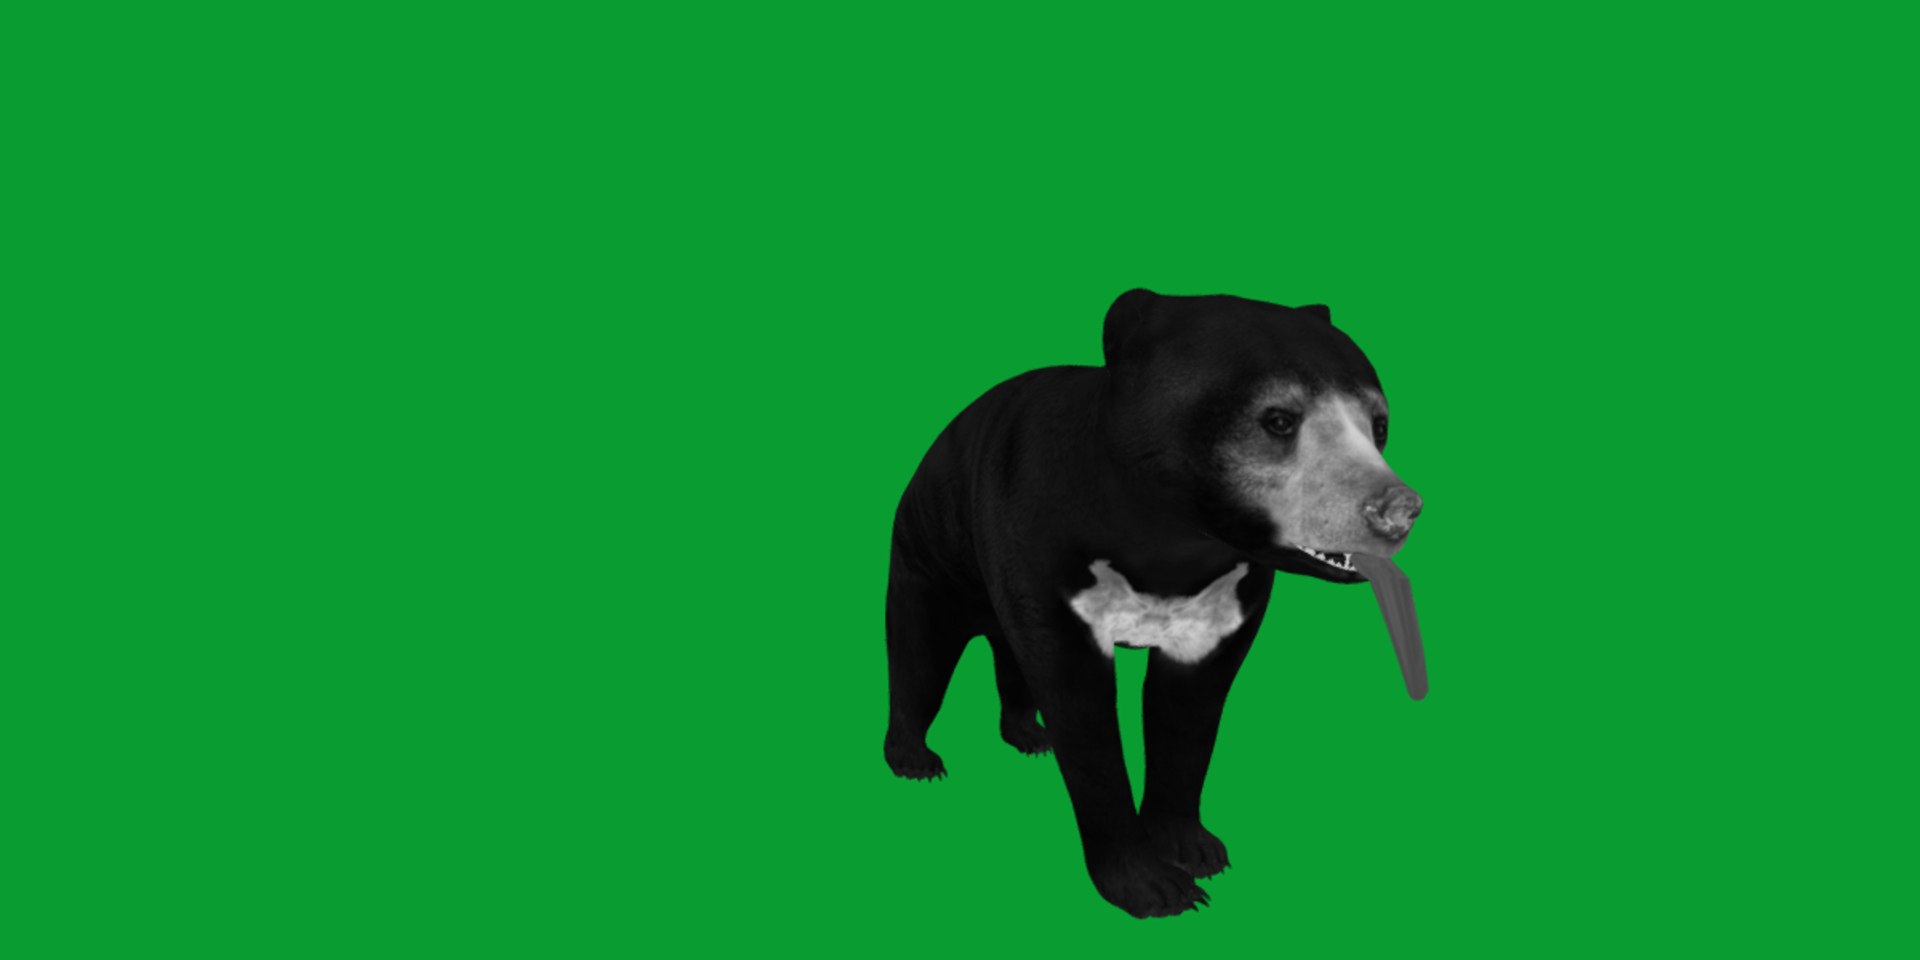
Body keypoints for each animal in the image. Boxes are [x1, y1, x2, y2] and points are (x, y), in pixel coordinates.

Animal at [884, 289, 1426, 918]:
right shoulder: (1044, 548)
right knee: (920, 654)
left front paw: (1193, 849)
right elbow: (1081, 707)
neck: (1173, 538)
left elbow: (1189, 709)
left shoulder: (1228, 594)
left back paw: (1029, 734)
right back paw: (913, 759)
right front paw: (1151, 885)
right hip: (931, 554)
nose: (1397, 510)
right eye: (1279, 420)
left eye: (1379, 426)